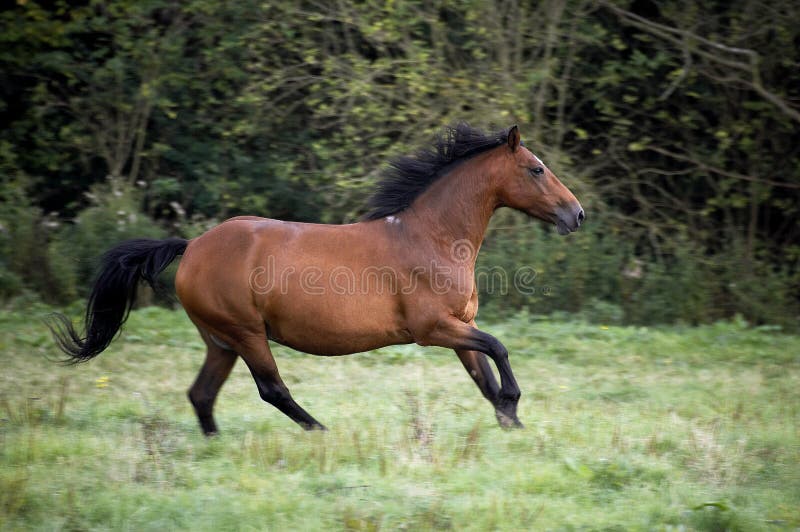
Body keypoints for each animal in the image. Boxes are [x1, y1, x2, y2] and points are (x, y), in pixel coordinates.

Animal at [50, 124, 584, 435]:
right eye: (536, 169)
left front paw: (510, 422)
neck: (431, 235)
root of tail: (193, 246)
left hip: (221, 340)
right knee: (272, 389)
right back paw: (320, 432)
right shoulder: (433, 329)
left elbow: (483, 375)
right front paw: (514, 405)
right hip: (246, 332)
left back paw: (215, 444)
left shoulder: (457, 327)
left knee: (202, 394)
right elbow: (498, 348)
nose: (576, 214)